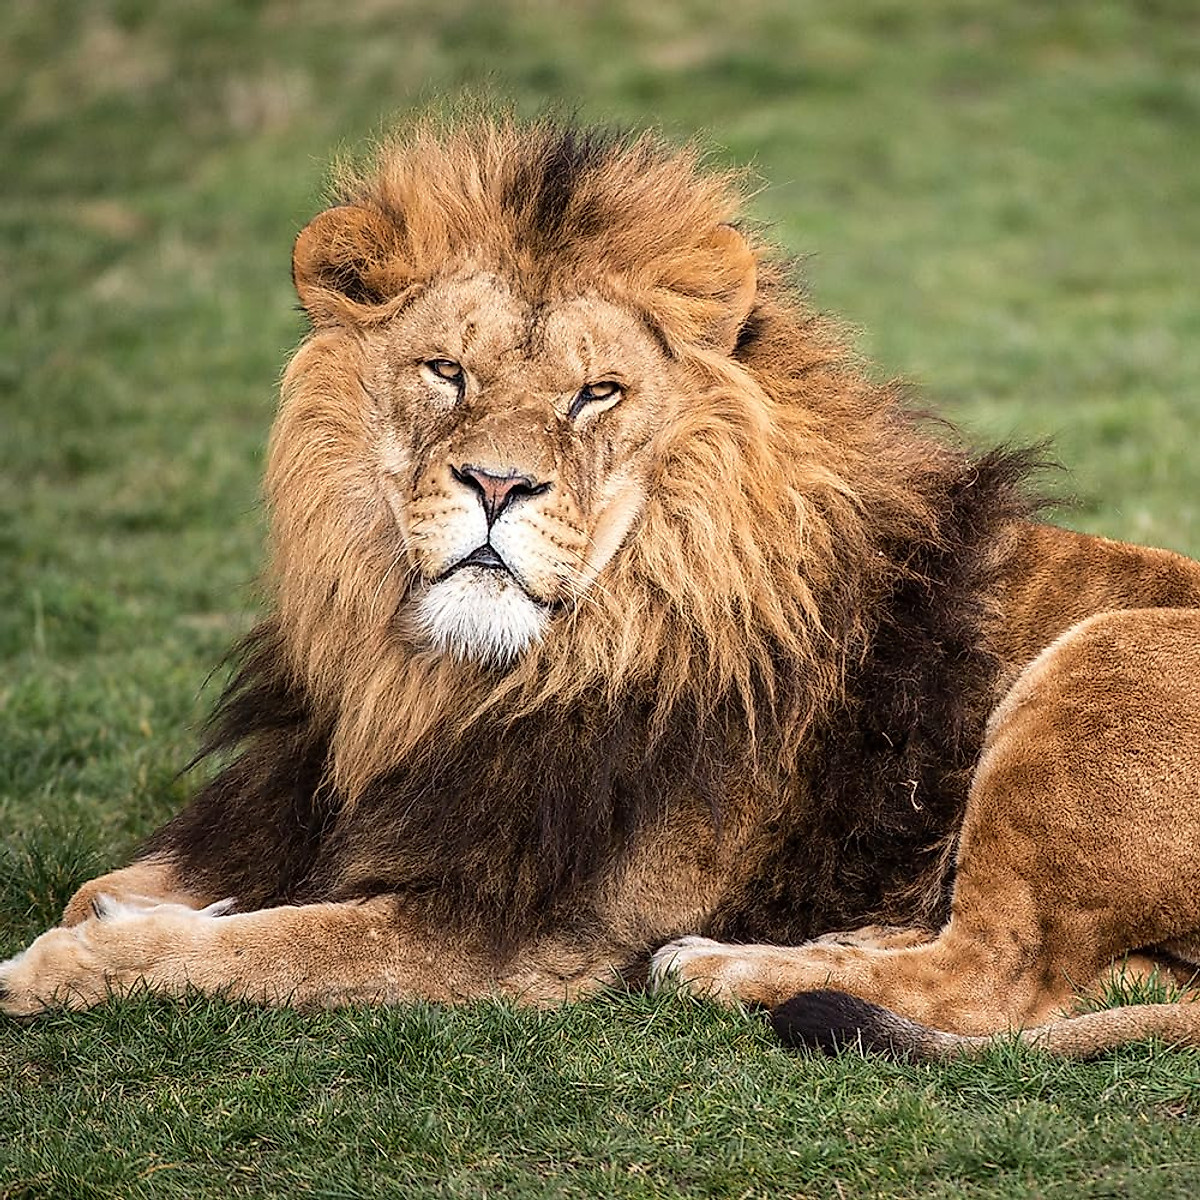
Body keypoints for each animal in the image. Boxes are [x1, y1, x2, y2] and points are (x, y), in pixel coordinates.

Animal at [2, 118, 1198, 1059]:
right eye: (447, 372)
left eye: (596, 394)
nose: (496, 484)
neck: (451, 677)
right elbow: (115, 889)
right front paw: (117, 908)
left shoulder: (521, 935)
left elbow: (264, 949)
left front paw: (60, 968)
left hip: (1103, 660)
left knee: (996, 978)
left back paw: (722, 967)